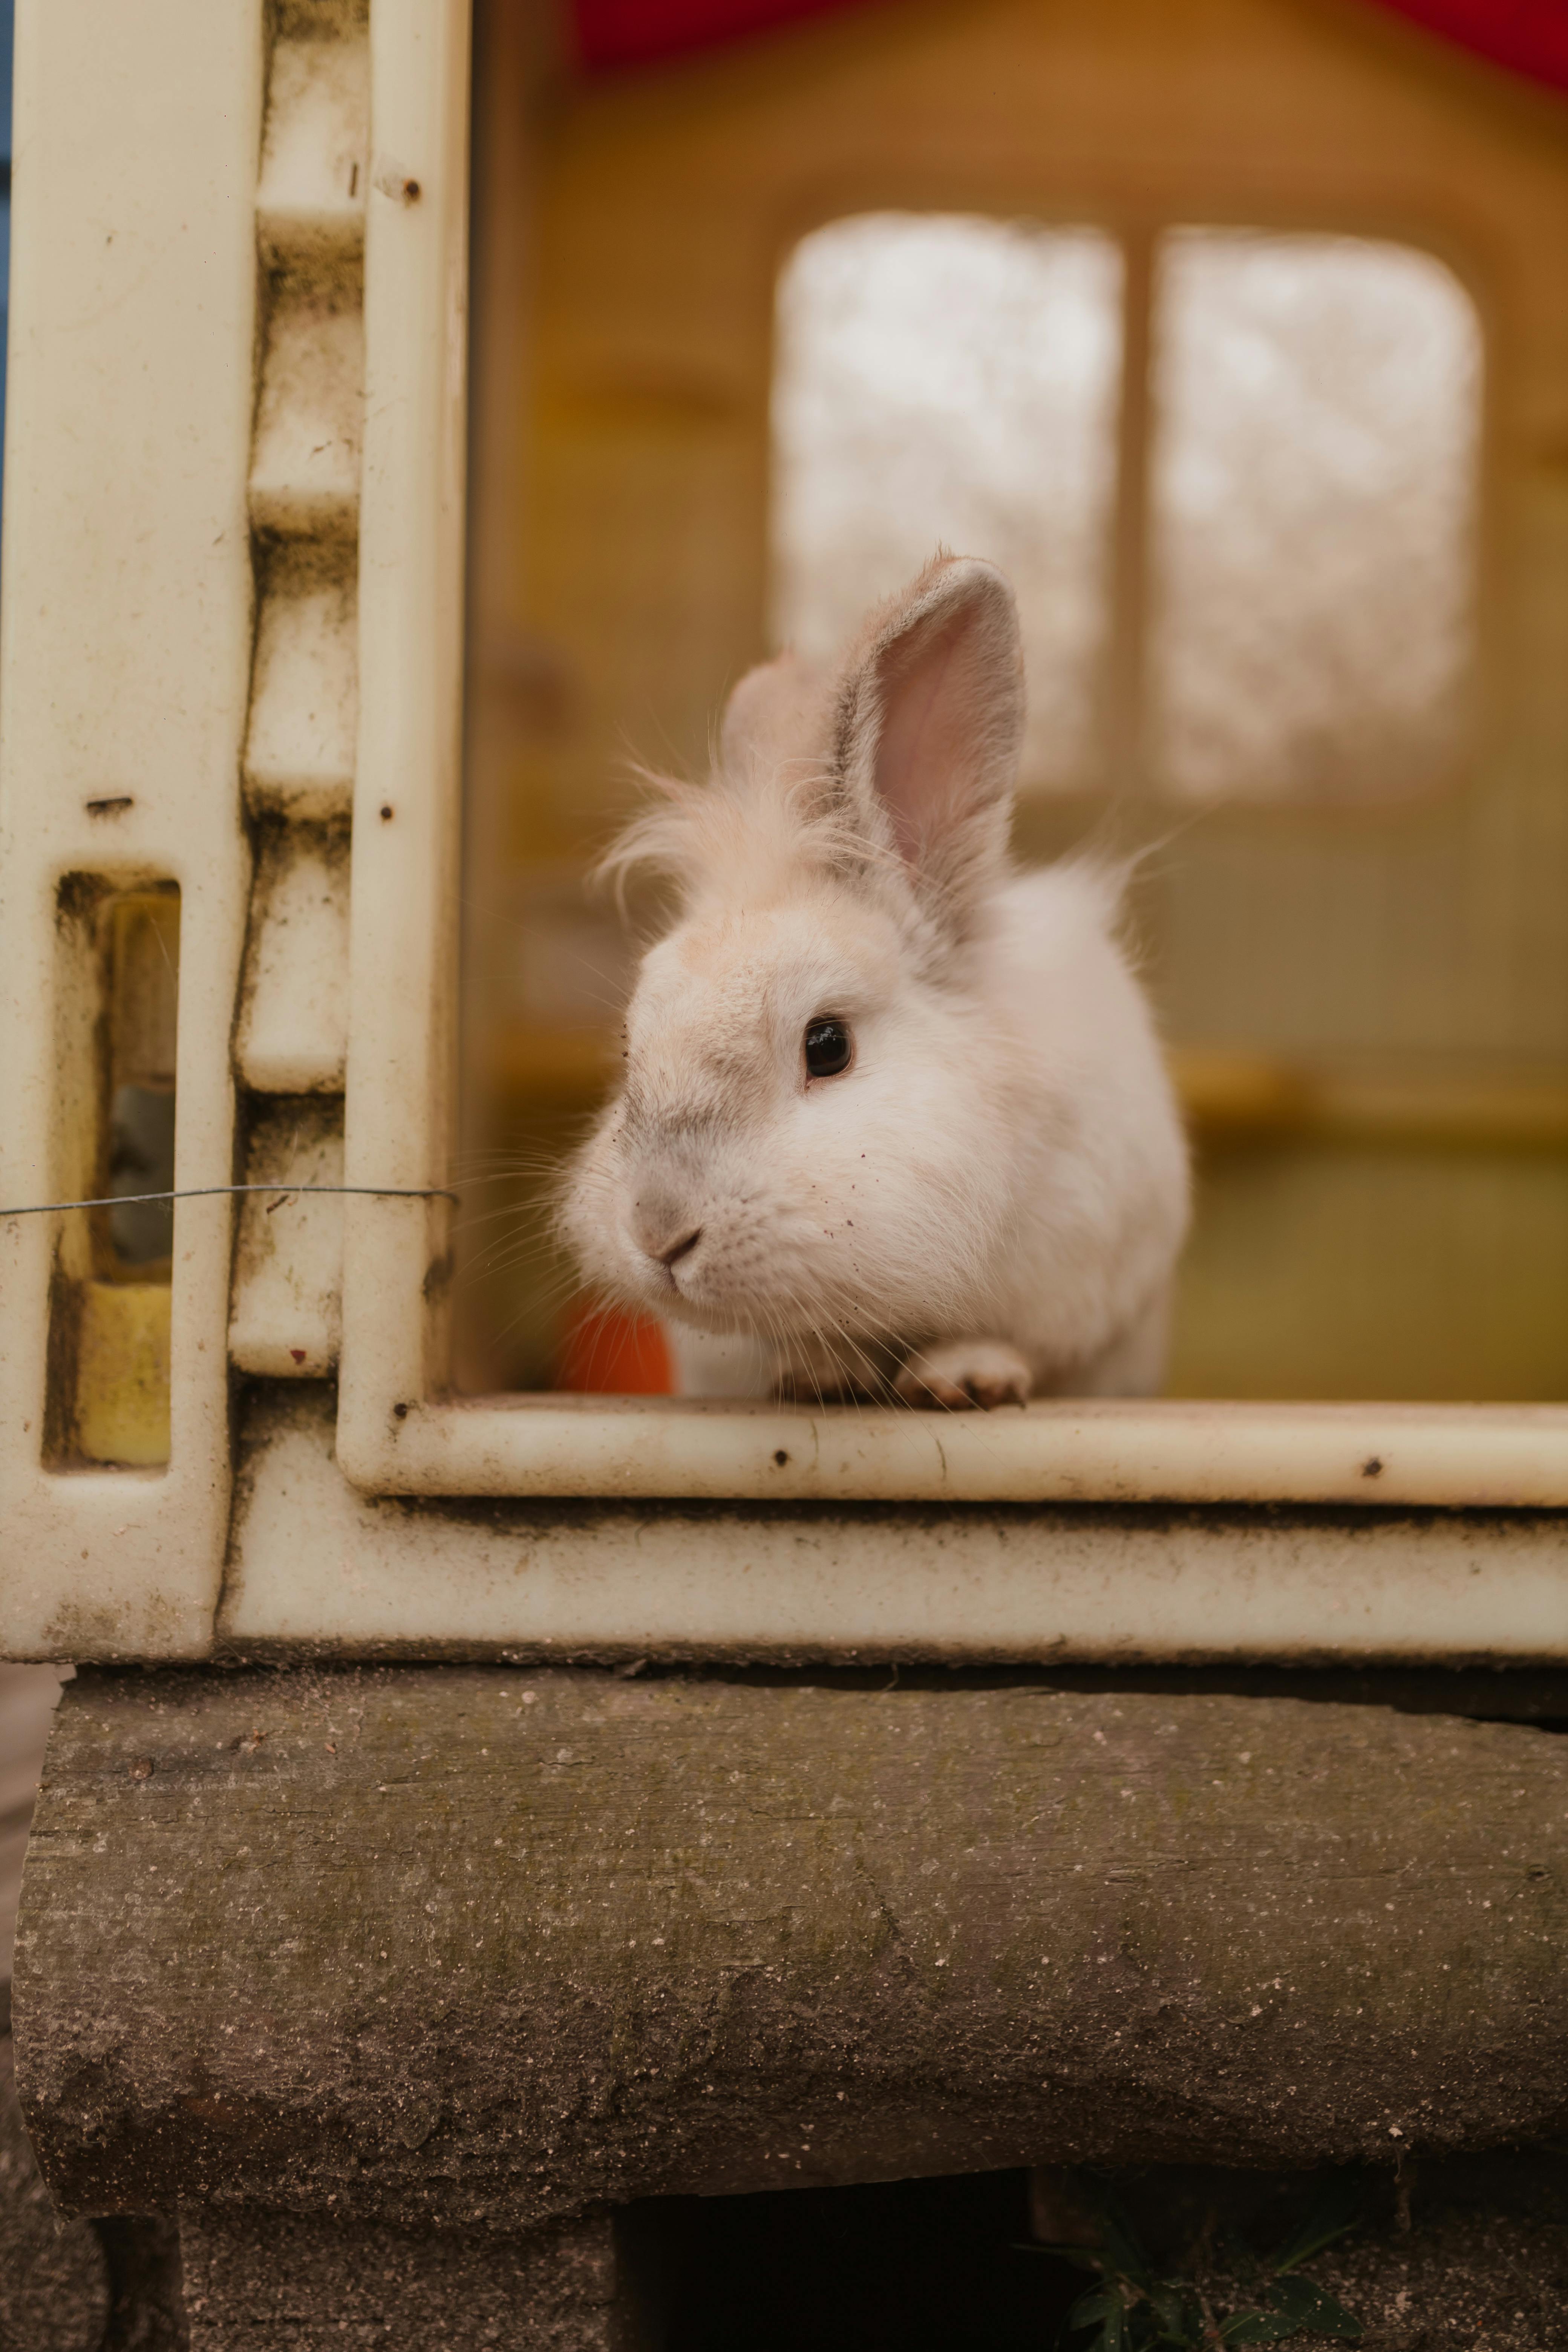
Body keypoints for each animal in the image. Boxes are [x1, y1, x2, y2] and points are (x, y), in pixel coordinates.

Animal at [562, 553, 1190, 1407]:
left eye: (828, 1046)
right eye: (631, 1048)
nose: (658, 1232)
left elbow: (1015, 1338)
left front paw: (967, 1377)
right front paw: (821, 1375)